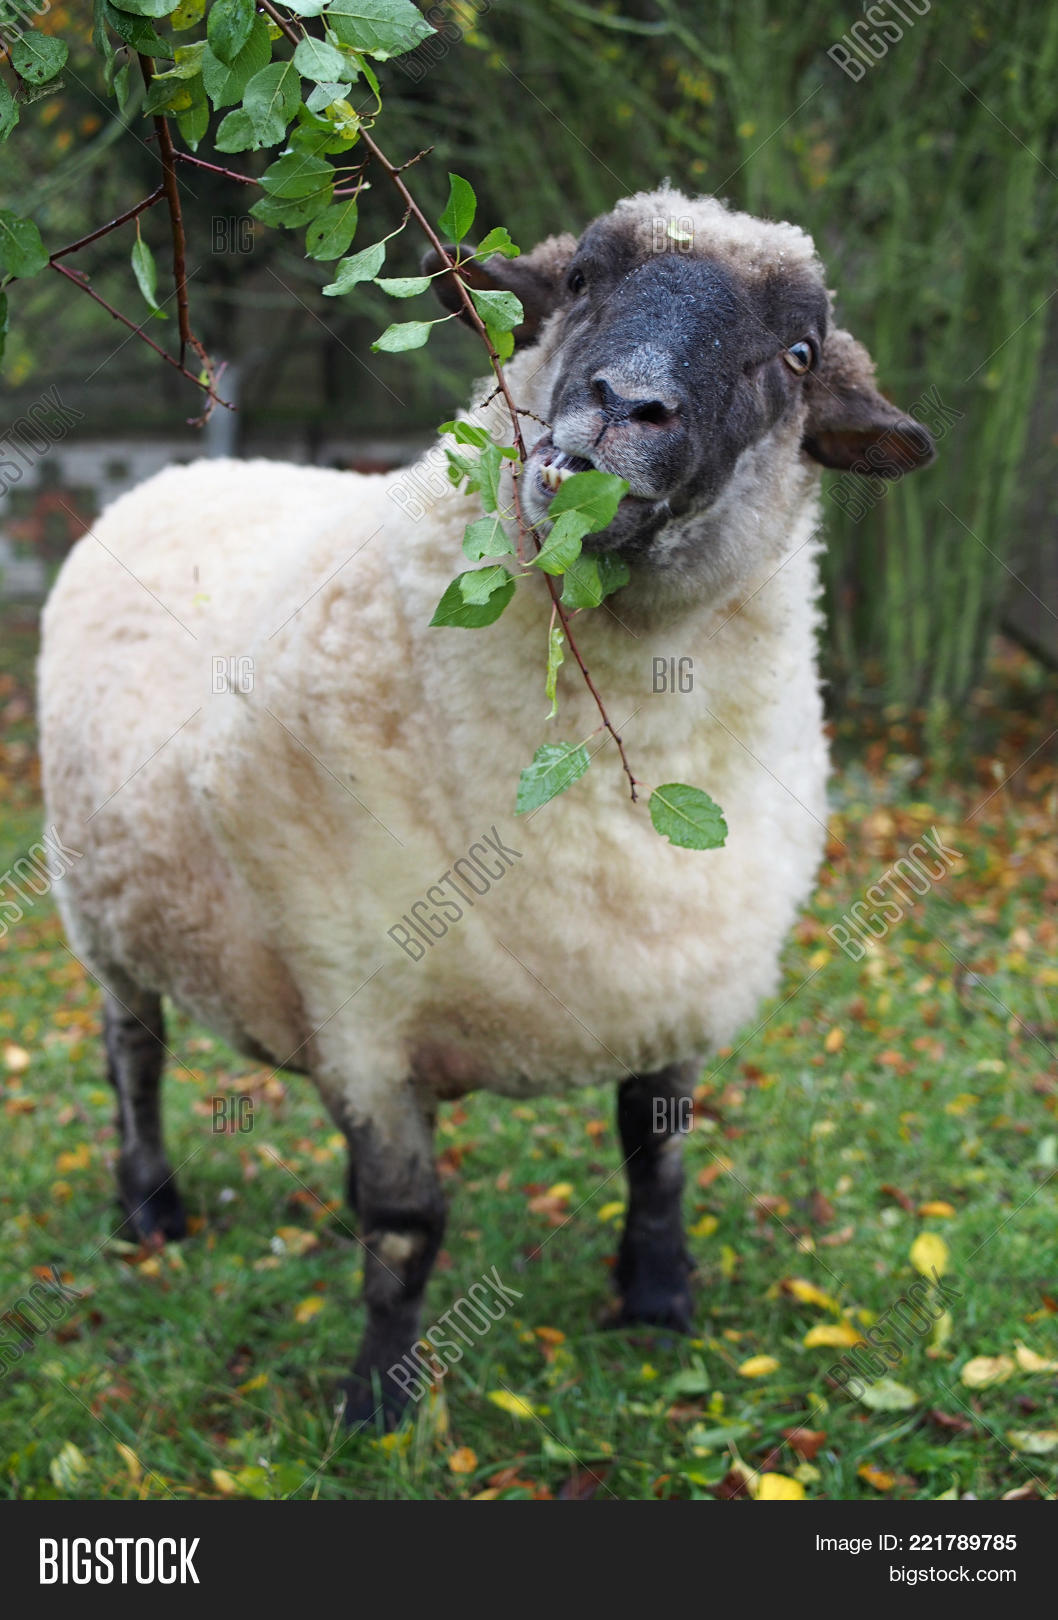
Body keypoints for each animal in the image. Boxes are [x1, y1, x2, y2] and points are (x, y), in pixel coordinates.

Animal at [39, 186, 935, 1423]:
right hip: (103, 911)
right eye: (577, 283)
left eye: (797, 353)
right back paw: (149, 1210)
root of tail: (185, 473)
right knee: (134, 1053)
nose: (621, 408)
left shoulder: (675, 982)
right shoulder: (360, 1003)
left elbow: (654, 1160)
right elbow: (407, 1222)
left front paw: (656, 1302)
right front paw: (379, 1400)